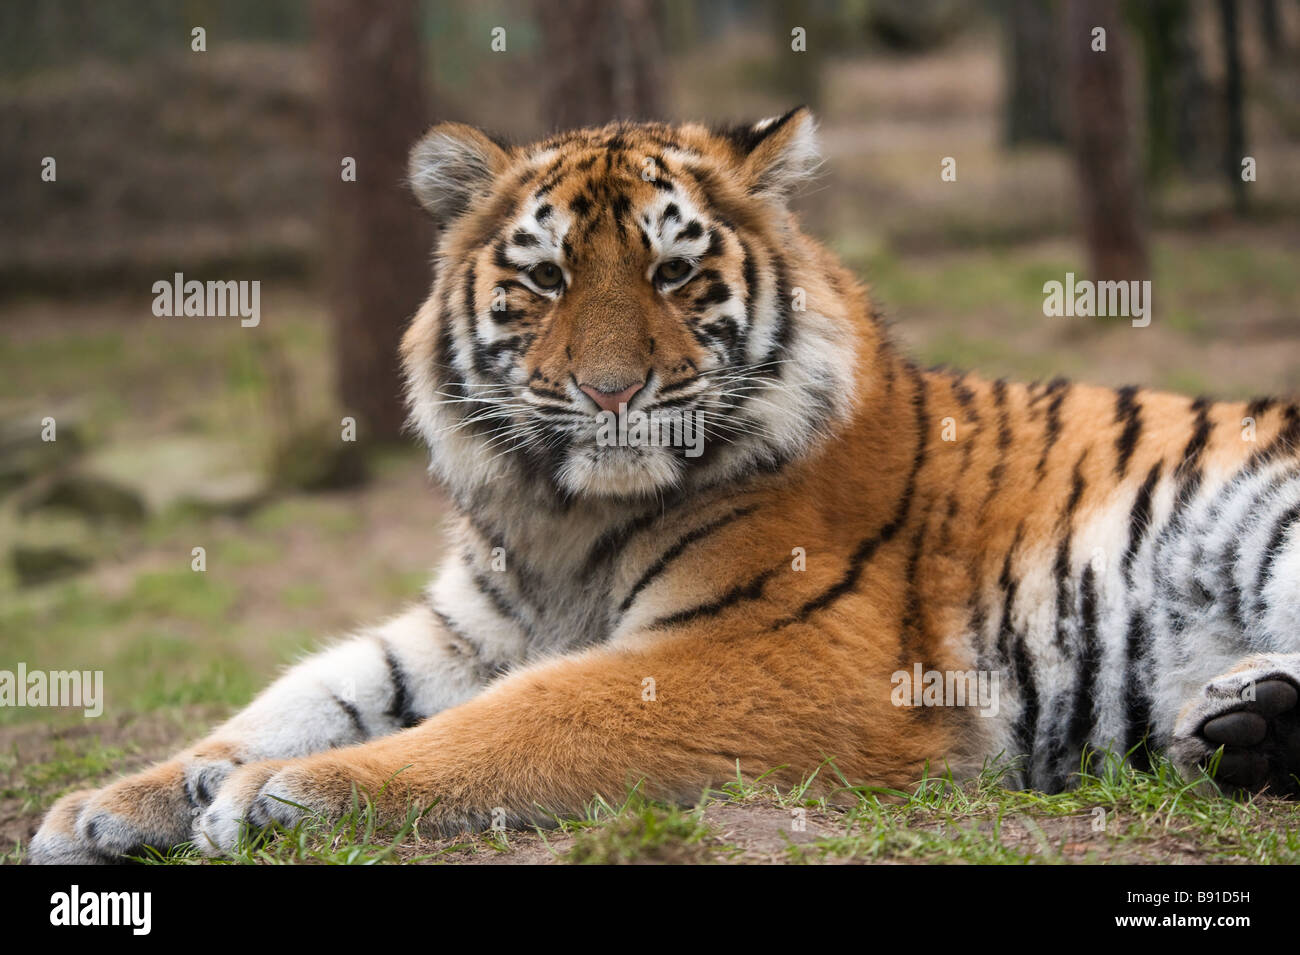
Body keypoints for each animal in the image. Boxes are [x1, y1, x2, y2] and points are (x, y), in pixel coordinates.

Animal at [29, 107, 1300, 864]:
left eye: (675, 272)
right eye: (544, 279)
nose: (610, 391)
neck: (557, 517)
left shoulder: (771, 652)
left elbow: (525, 715)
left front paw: (282, 792)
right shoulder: (461, 629)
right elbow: (301, 693)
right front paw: (113, 802)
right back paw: (1243, 721)